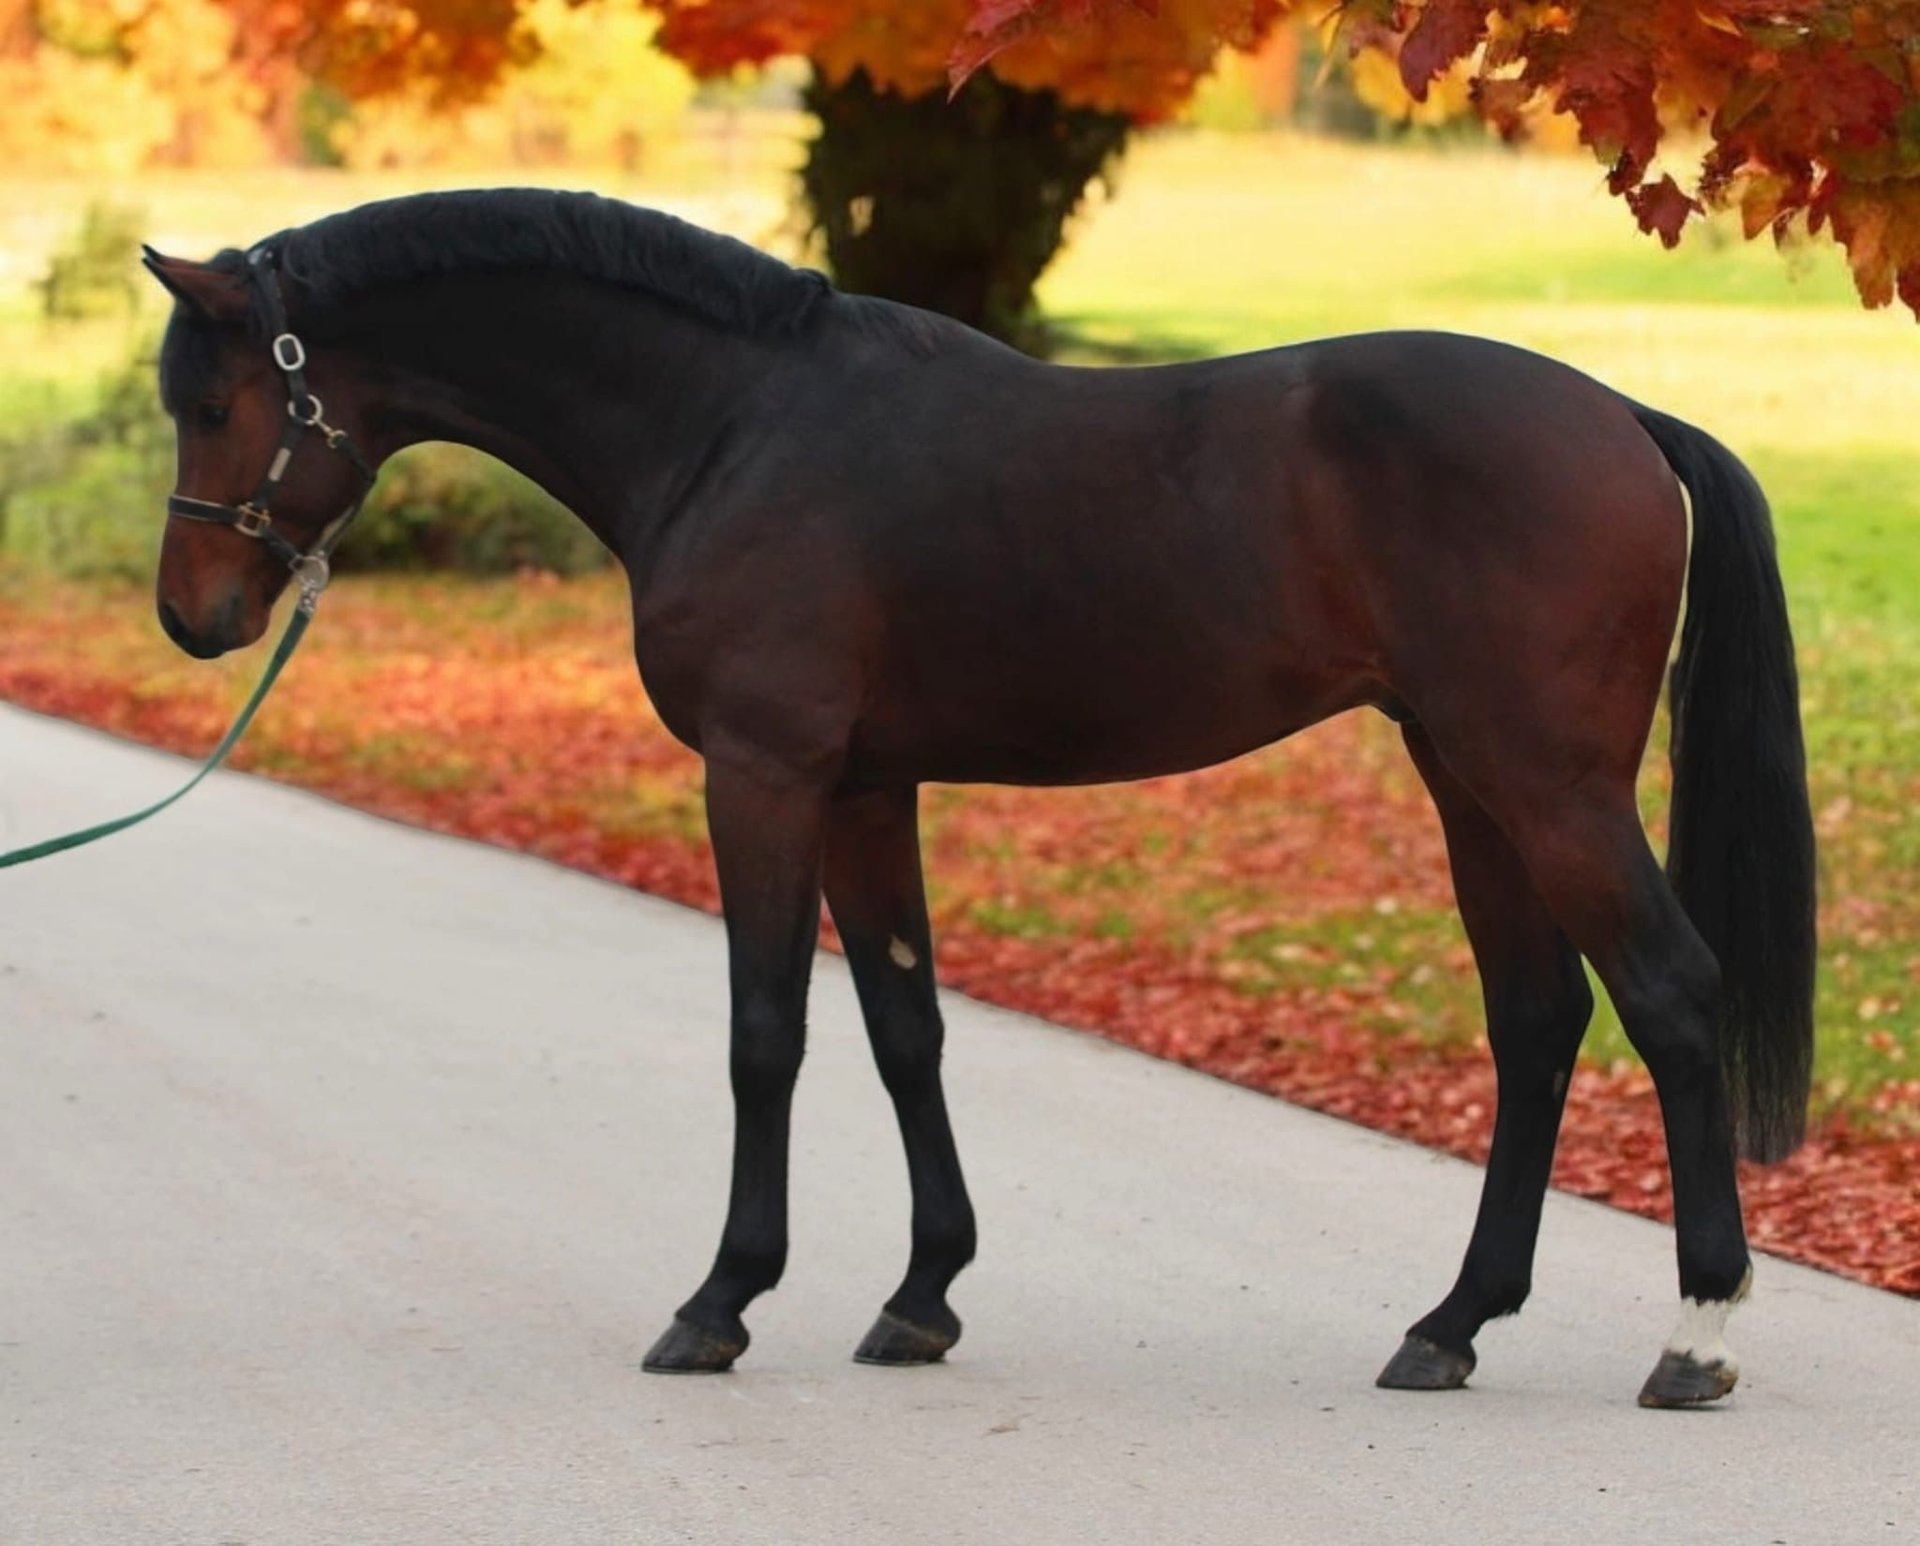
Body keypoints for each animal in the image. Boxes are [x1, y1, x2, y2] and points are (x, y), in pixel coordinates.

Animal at [140, 188, 1815, 1408]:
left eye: (214, 404)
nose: (192, 617)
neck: (732, 424)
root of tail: (1623, 416)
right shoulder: (870, 788)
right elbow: (905, 1027)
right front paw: (922, 1293)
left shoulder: (765, 771)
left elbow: (767, 1033)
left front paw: (722, 1300)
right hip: (1467, 775)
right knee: (1537, 1020)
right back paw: (1453, 1322)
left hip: (1548, 782)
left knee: (1672, 995)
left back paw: (1699, 1335)